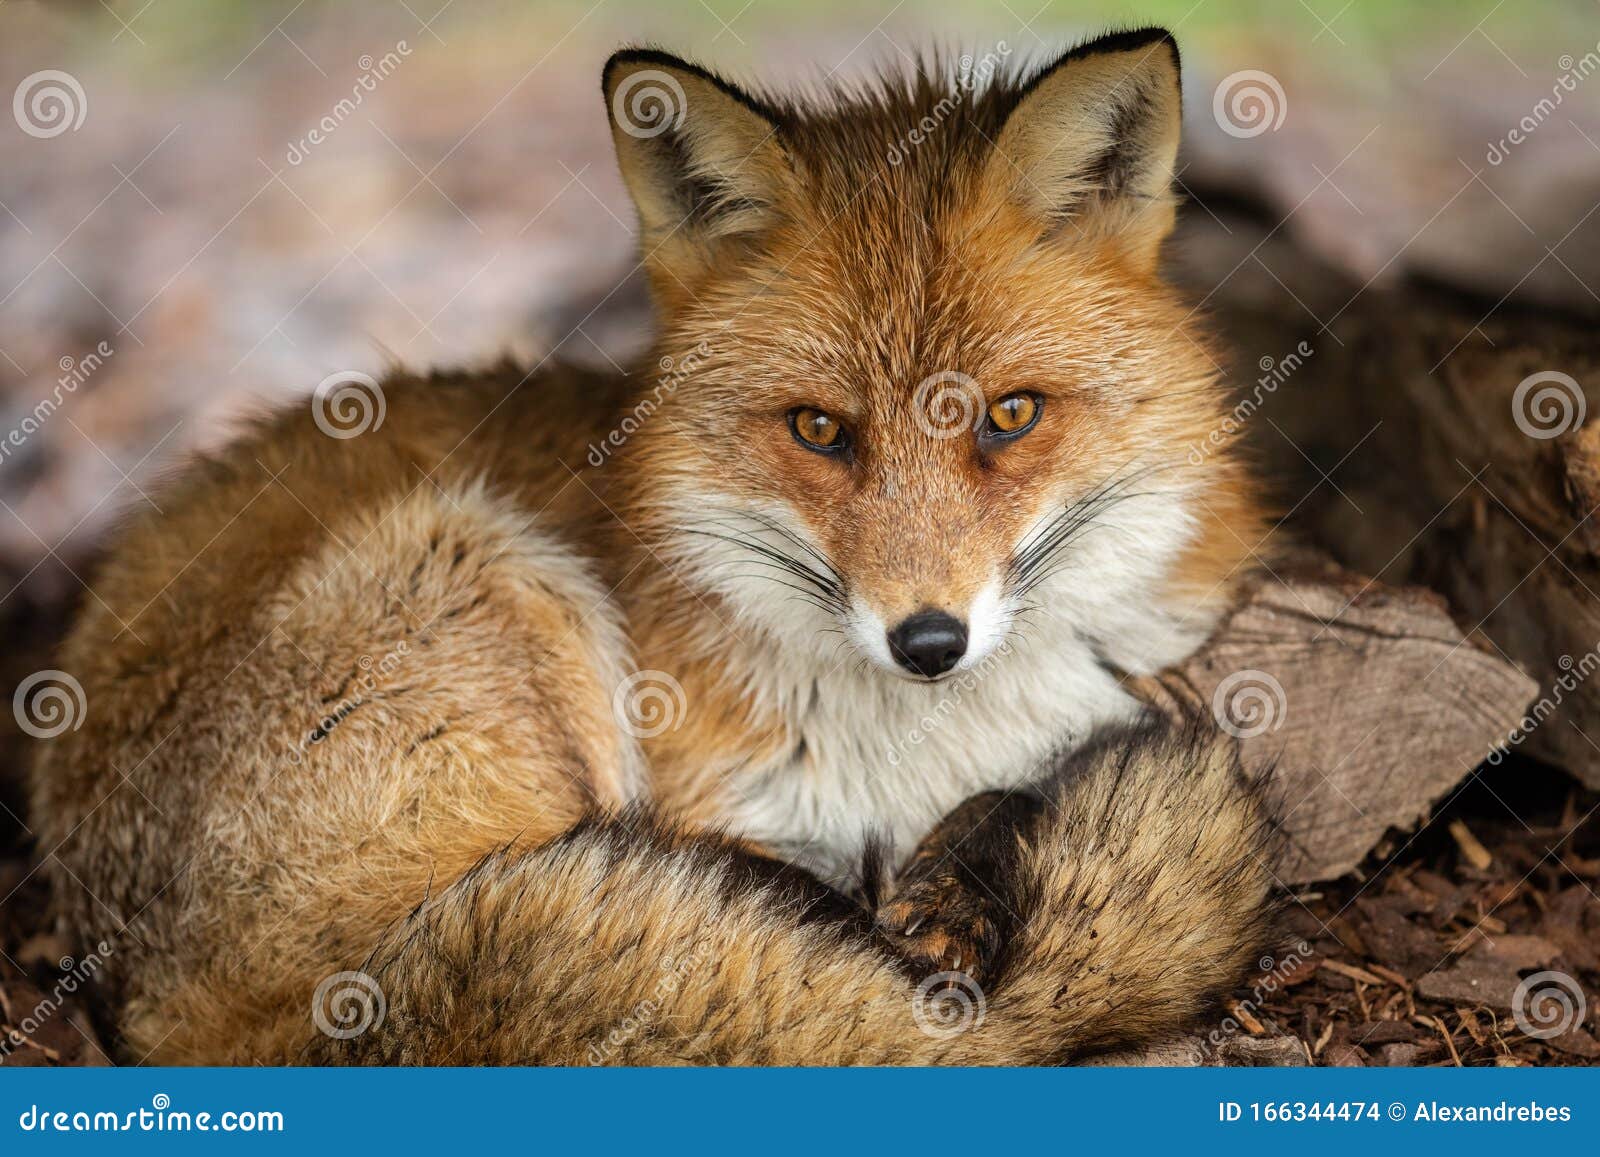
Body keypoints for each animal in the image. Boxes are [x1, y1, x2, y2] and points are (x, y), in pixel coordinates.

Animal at [27, 28, 1273, 1065]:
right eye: (819, 430)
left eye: (1008, 415)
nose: (927, 640)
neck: (911, 751)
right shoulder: (717, 805)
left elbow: (1005, 796)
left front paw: (954, 881)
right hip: (481, 568)